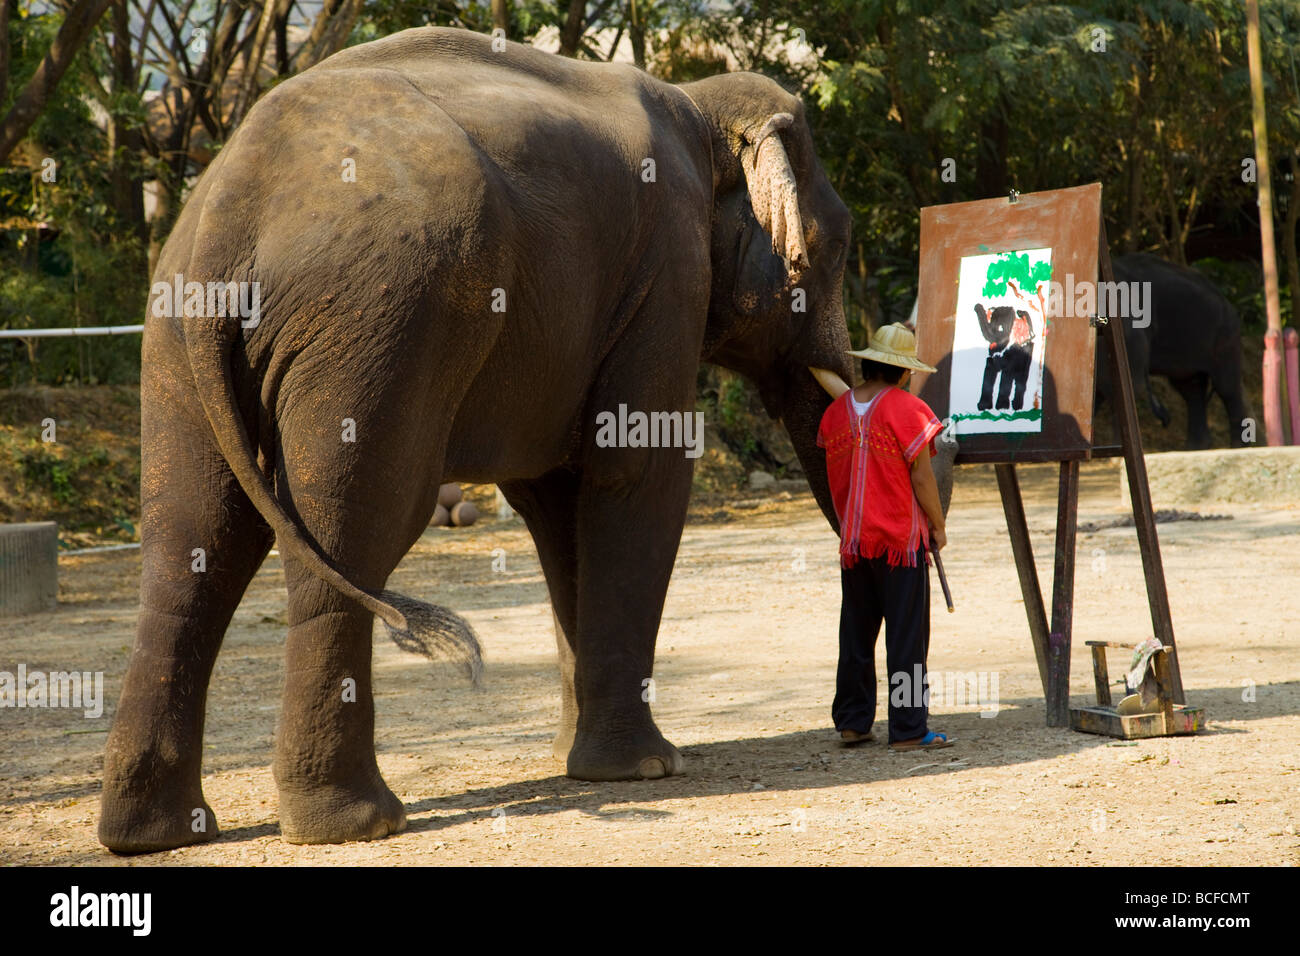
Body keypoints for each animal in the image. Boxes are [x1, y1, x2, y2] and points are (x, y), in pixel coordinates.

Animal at [98, 27, 864, 853]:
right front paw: (649, 770)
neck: (701, 106)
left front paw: (582, 765)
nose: (856, 731)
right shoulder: (667, 270)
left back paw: (156, 833)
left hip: (177, 333)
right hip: (380, 321)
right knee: (354, 530)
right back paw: (358, 822)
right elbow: (636, 473)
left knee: (193, 542)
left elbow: (558, 501)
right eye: (838, 248)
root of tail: (231, 205)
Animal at [1094, 253, 1249, 449]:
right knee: (1190, 388)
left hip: (1226, 337)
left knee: (1227, 387)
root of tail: (1229, 303)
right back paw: (1195, 448)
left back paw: (1236, 446)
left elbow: (1122, 387)